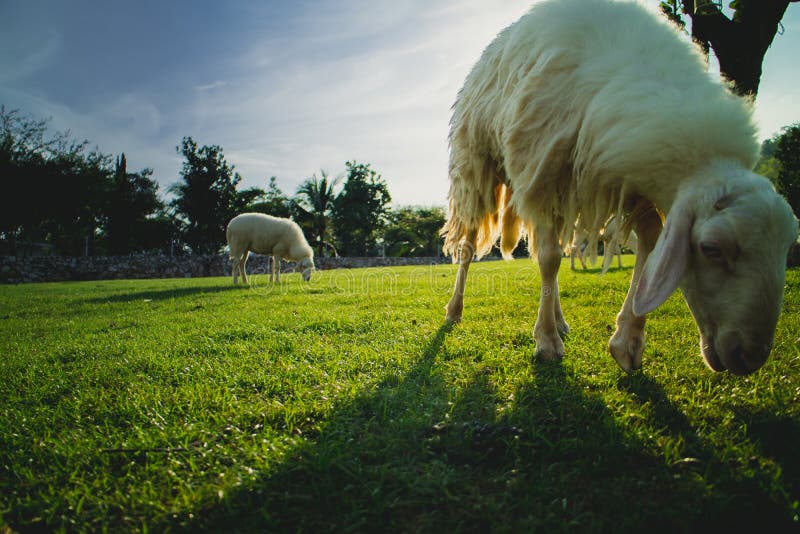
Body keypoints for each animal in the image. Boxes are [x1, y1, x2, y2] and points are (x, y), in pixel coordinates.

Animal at [441, 0, 798, 375]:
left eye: (789, 246)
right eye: (711, 248)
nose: (749, 357)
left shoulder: (630, 182)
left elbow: (649, 242)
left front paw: (627, 342)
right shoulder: (543, 173)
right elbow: (551, 259)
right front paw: (546, 342)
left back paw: (559, 319)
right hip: (477, 168)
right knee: (471, 247)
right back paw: (455, 311)